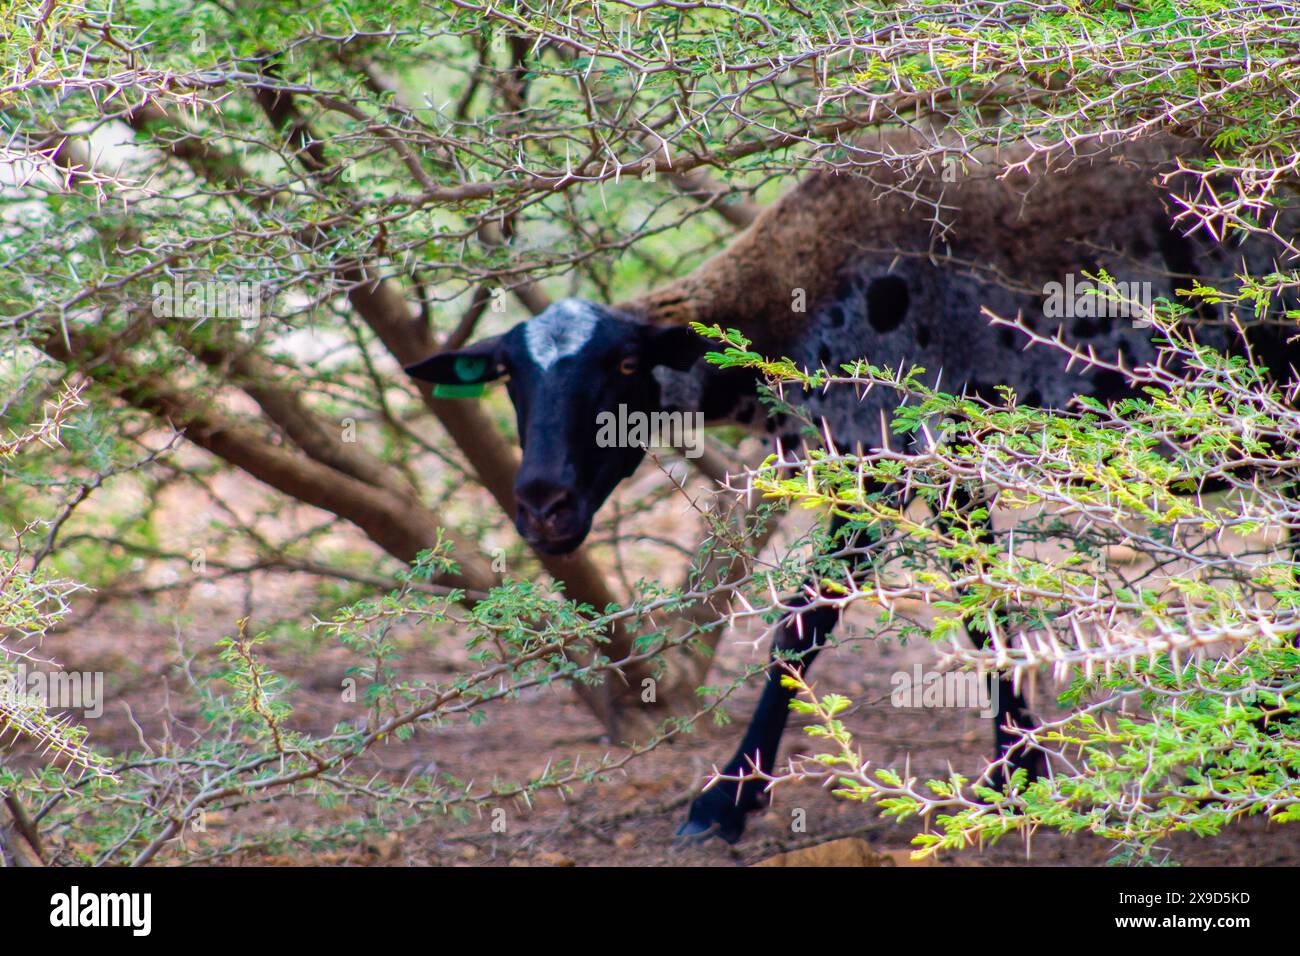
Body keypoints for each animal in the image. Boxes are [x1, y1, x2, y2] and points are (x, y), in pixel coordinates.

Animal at [406, 132, 1300, 843]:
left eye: (625, 365)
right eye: (509, 377)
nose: (542, 505)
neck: (795, 295)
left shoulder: (882, 458)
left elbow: (803, 628)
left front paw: (724, 802)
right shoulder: (950, 464)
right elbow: (983, 604)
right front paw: (1016, 773)